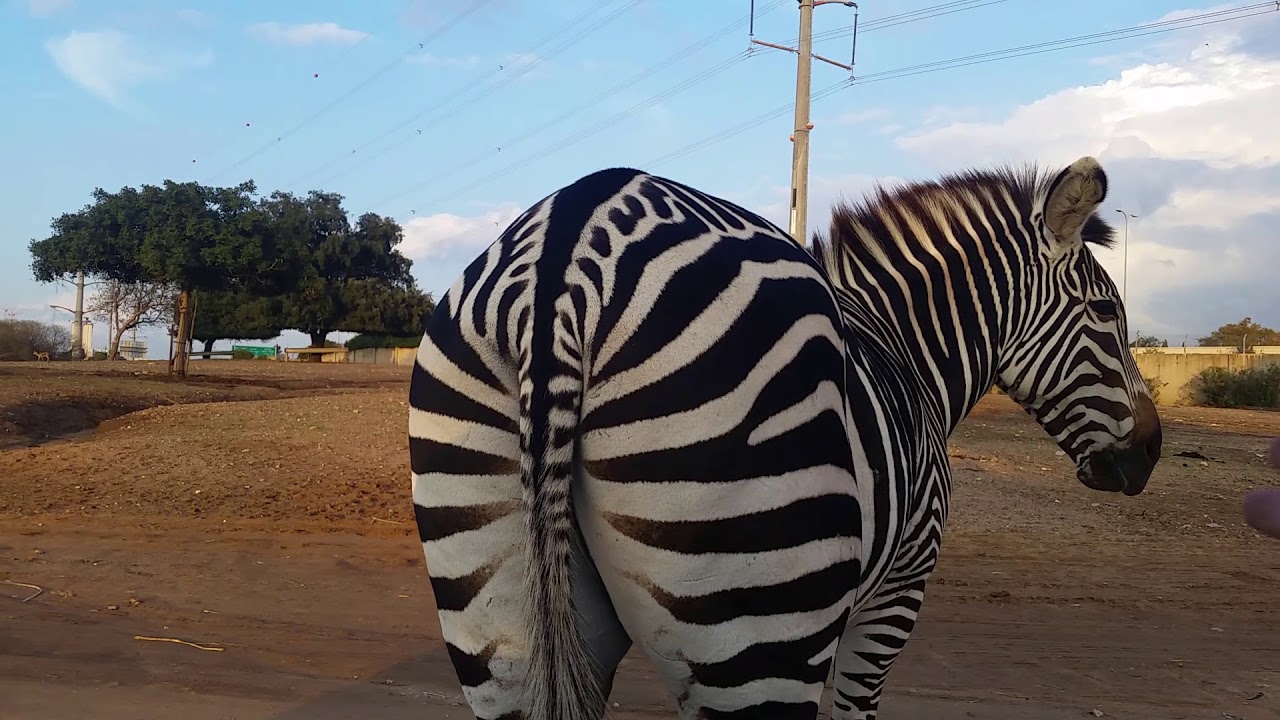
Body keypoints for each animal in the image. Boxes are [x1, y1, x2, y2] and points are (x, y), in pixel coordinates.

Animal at [407, 157, 1162, 719]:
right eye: (1106, 313)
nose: (1153, 451)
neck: (907, 350)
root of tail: (569, 248)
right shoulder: (894, 593)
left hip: (503, 619)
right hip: (762, 622)